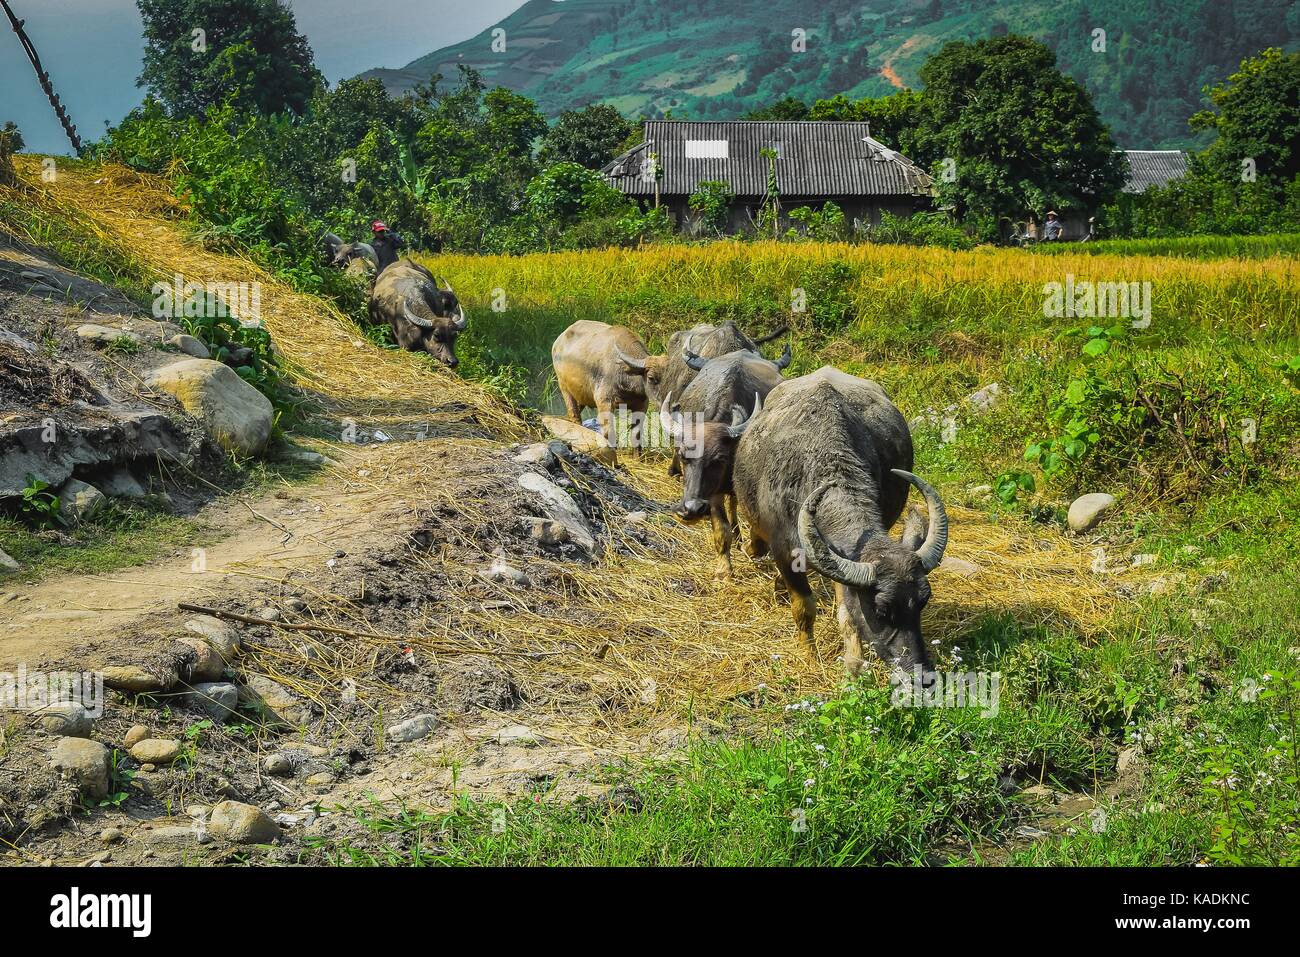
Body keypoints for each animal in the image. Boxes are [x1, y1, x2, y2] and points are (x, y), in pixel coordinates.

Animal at [732, 366, 949, 678]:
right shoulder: (785, 552)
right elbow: (804, 607)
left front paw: (854, 664)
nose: (922, 673)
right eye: (881, 611)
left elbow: (847, 613)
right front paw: (810, 656)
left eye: (923, 602)